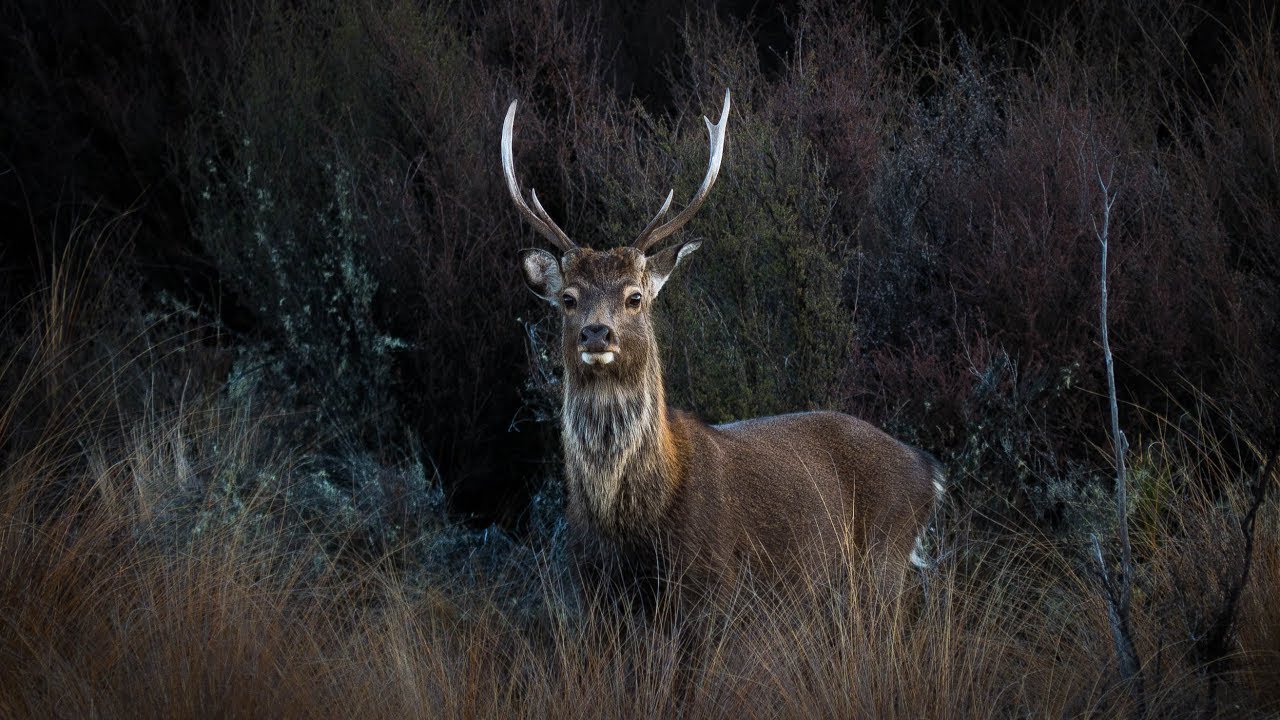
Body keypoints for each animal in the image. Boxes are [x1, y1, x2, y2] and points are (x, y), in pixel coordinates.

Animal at [502, 90, 944, 602]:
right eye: (568, 299)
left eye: (635, 297)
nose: (596, 333)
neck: (632, 524)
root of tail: (930, 471)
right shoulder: (589, 585)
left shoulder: (712, 577)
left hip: (884, 558)